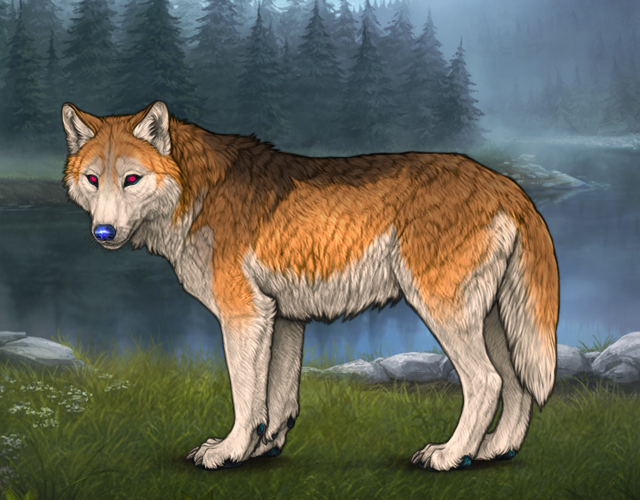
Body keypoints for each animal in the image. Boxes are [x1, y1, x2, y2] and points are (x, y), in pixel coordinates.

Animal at [61, 101, 558, 472]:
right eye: (93, 180)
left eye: (131, 179)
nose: (103, 233)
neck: (198, 194)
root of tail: (508, 185)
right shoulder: (282, 318)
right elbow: (277, 401)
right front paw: (262, 449)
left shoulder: (245, 315)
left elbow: (246, 398)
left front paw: (229, 451)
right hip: (493, 324)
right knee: (517, 387)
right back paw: (495, 450)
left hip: (446, 315)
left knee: (486, 382)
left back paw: (452, 455)